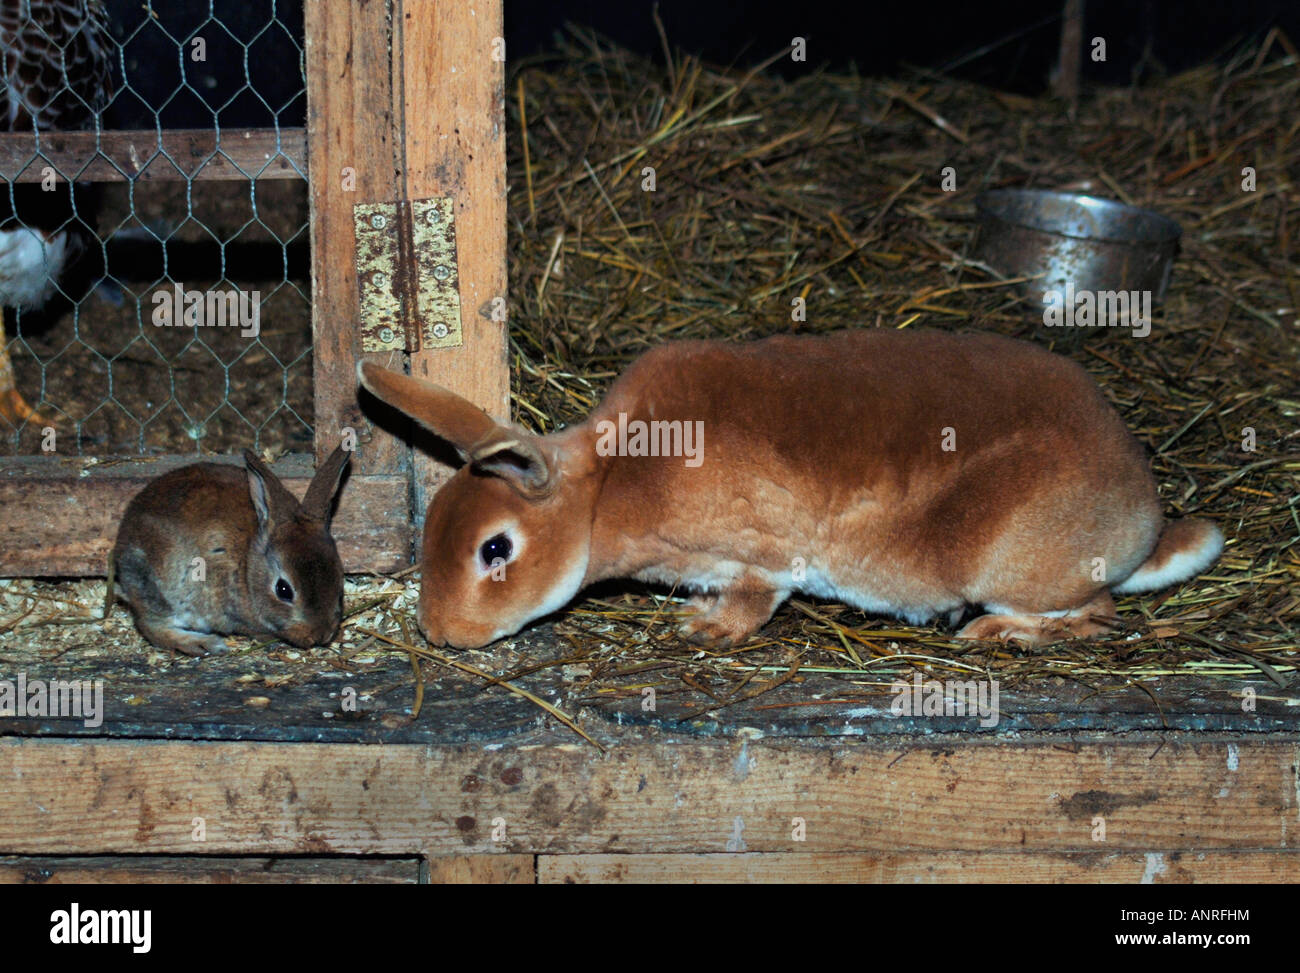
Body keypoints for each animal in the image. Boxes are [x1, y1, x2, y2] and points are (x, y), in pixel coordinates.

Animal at [109, 445, 351, 656]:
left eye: (339, 585)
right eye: (283, 590)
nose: (320, 635)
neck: (247, 566)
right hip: (158, 588)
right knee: (150, 626)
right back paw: (202, 644)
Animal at [356, 328, 1223, 649]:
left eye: (495, 549)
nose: (442, 633)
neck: (606, 488)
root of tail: (1144, 519)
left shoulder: (763, 555)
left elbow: (756, 596)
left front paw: (704, 626)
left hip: (1008, 557)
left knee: (1096, 613)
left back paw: (992, 631)